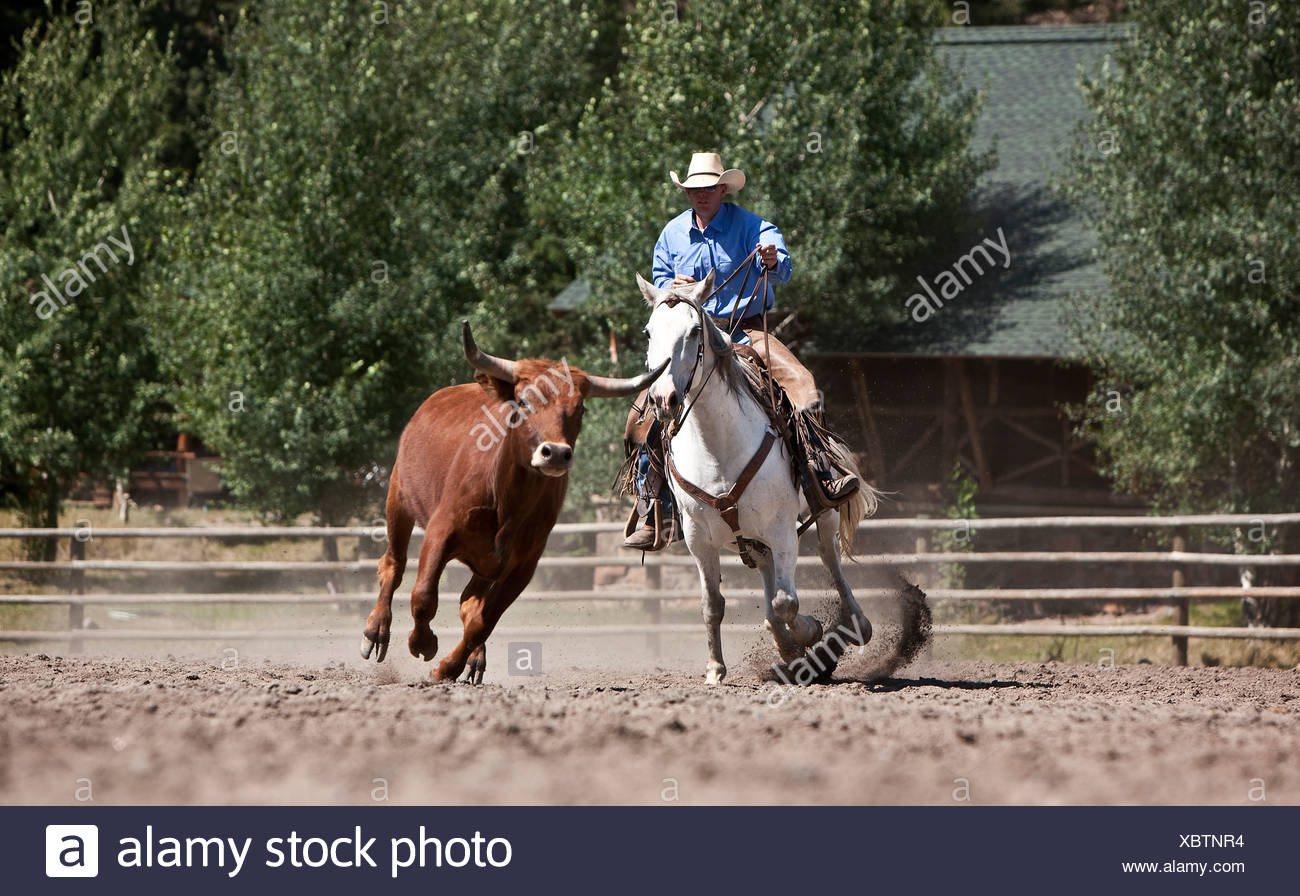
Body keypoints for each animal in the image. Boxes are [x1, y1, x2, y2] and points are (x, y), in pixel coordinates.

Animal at [360, 322, 667, 683]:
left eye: (580, 408)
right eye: (522, 402)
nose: (555, 453)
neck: (506, 500)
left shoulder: (521, 566)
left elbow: (482, 622)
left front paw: (448, 667)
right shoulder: (440, 531)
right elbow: (423, 596)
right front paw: (423, 643)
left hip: (487, 562)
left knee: (469, 603)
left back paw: (474, 659)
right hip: (398, 498)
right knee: (392, 565)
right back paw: (376, 632)